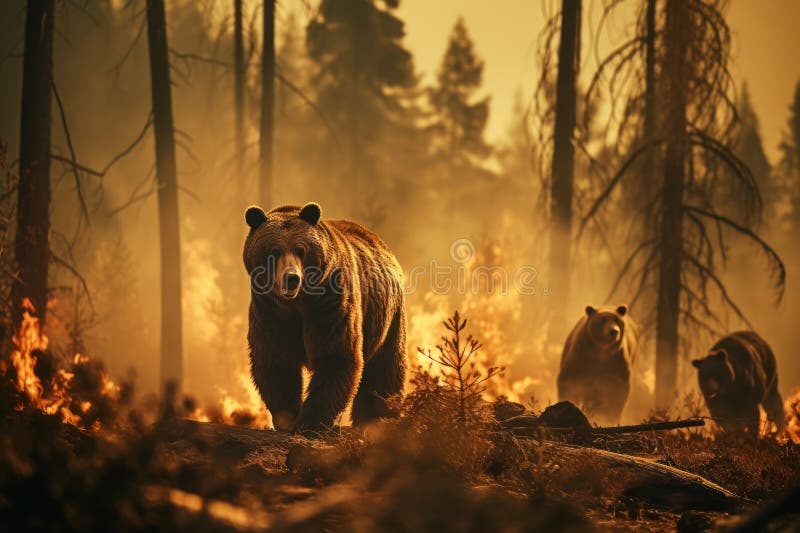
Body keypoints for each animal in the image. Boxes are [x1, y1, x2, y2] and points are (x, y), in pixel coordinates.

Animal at [243, 202, 407, 432]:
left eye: (300, 250)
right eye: (274, 251)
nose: (291, 278)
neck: (297, 303)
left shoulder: (330, 302)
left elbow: (336, 355)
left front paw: (311, 422)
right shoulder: (269, 310)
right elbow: (276, 359)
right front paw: (287, 417)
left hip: (388, 317)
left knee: (384, 369)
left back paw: (378, 419)